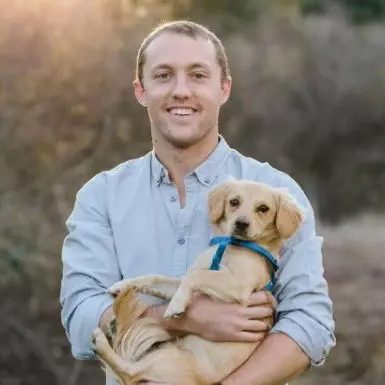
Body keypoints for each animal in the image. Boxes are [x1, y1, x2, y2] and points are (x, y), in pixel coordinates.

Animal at [91, 178, 304, 384]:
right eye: (234, 202)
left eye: (263, 208)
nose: (241, 224)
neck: (230, 245)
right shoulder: (186, 281)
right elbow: (157, 278)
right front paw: (123, 285)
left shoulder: (240, 284)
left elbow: (198, 276)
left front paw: (175, 306)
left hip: (172, 359)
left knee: (130, 372)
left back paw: (100, 341)